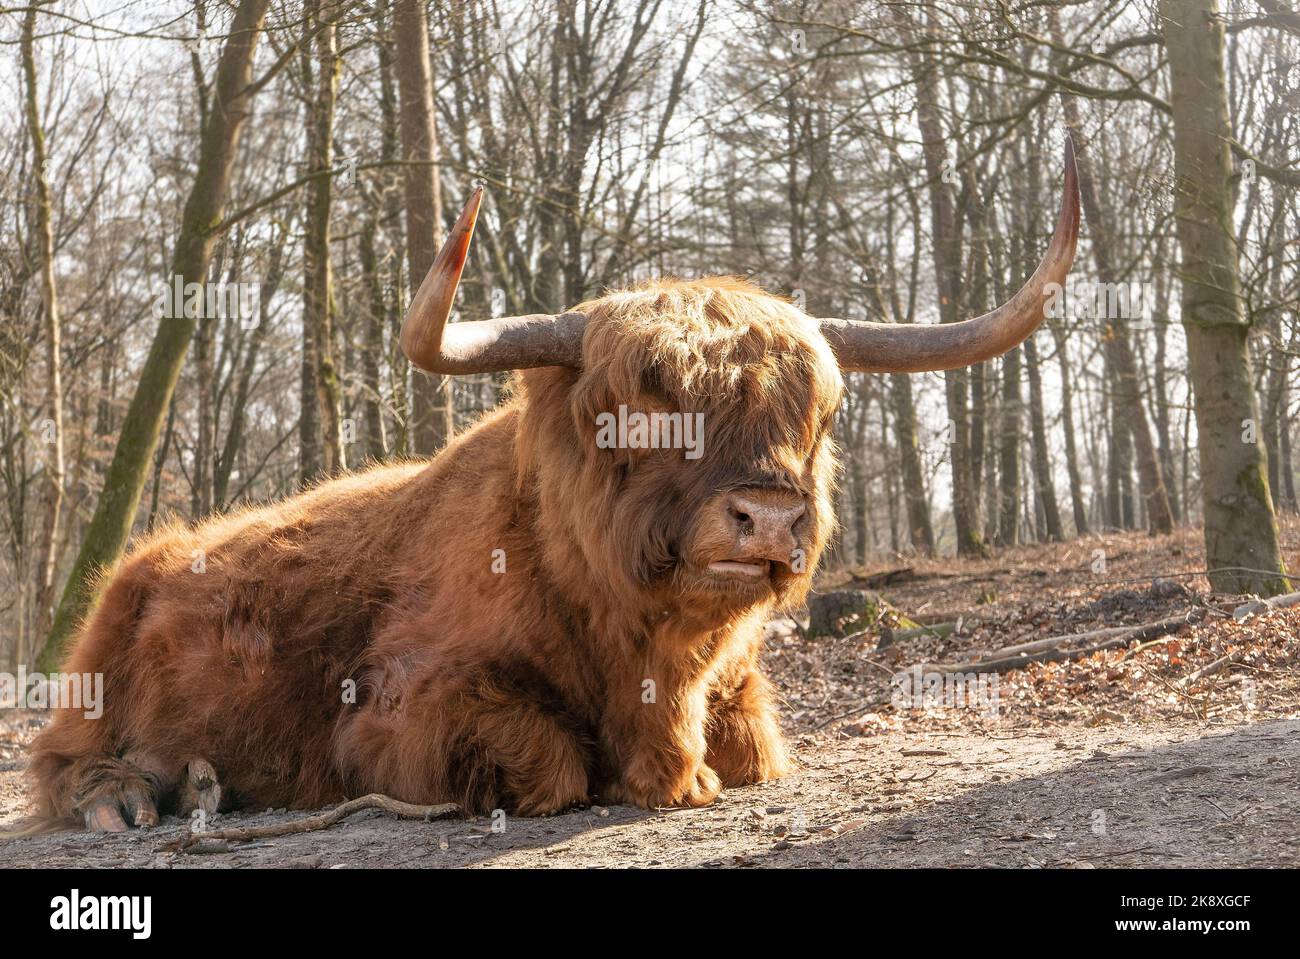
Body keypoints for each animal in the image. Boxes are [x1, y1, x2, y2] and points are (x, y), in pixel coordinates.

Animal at [23, 142, 1078, 831]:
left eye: (813, 418)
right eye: (640, 411)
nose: (768, 516)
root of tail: (154, 553)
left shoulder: (738, 694)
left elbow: (755, 745)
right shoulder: (392, 707)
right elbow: (552, 757)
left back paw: (205, 783)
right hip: (94, 665)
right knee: (57, 756)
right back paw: (134, 799)